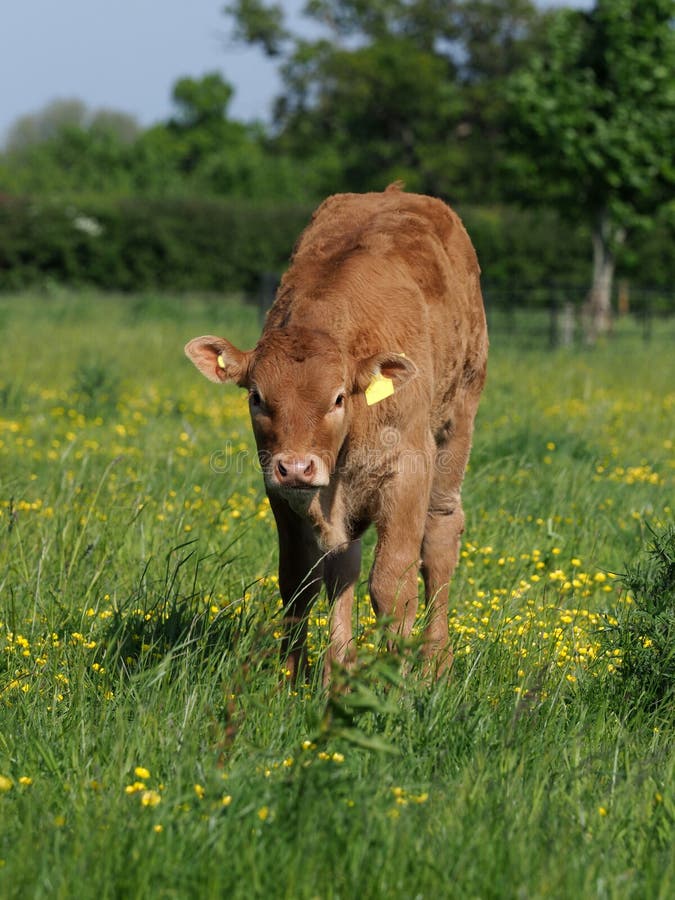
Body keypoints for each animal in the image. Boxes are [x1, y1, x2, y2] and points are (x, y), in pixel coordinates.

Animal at [185, 184, 488, 686]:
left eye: (339, 398)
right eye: (256, 397)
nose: (297, 466)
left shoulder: (408, 472)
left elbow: (392, 584)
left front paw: (394, 682)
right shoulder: (282, 491)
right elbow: (298, 581)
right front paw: (293, 677)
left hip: (456, 422)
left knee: (441, 536)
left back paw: (434, 661)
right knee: (344, 560)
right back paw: (339, 667)